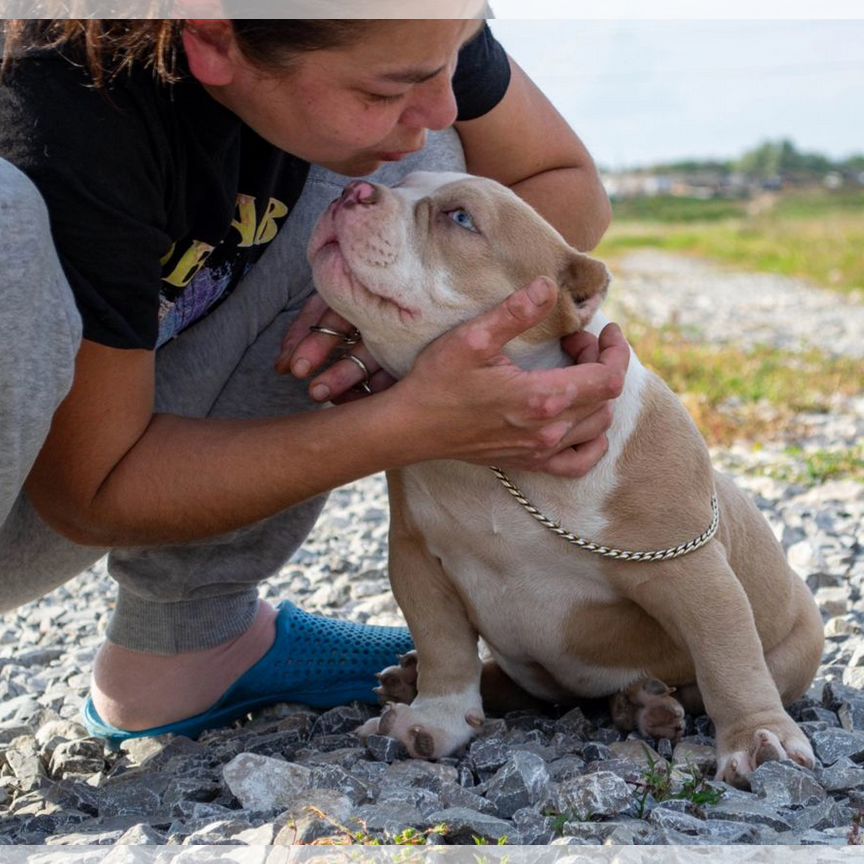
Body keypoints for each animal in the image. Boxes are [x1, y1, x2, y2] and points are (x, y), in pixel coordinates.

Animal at [306, 172, 824, 788]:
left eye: (460, 219)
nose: (354, 191)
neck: (495, 469)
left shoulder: (690, 568)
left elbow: (728, 657)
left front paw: (758, 737)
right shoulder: (416, 558)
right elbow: (443, 645)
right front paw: (434, 718)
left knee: (710, 680)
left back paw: (648, 704)